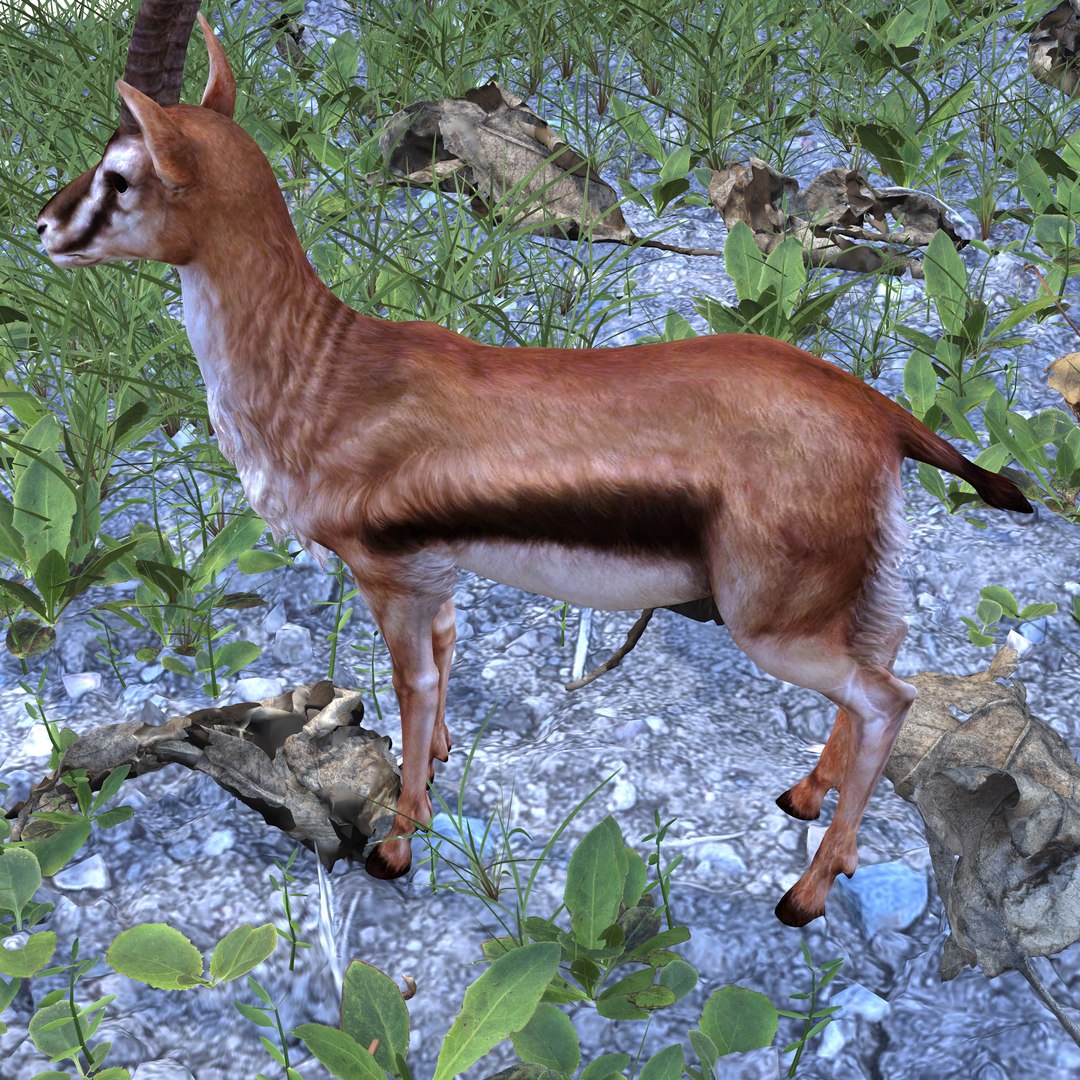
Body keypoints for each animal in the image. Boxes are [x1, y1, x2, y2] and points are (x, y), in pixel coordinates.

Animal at [36, 2, 1032, 926]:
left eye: (123, 173)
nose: (44, 225)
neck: (327, 372)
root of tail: (879, 411)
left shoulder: (387, 574)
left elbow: (413, 686)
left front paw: (396, 844)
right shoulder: (435, 575)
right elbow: (442, 664)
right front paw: (436, 772)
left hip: (769, 623)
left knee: (890, 698)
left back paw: (806, 892)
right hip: (840, 594)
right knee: (887, 658)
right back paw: (804, 798)